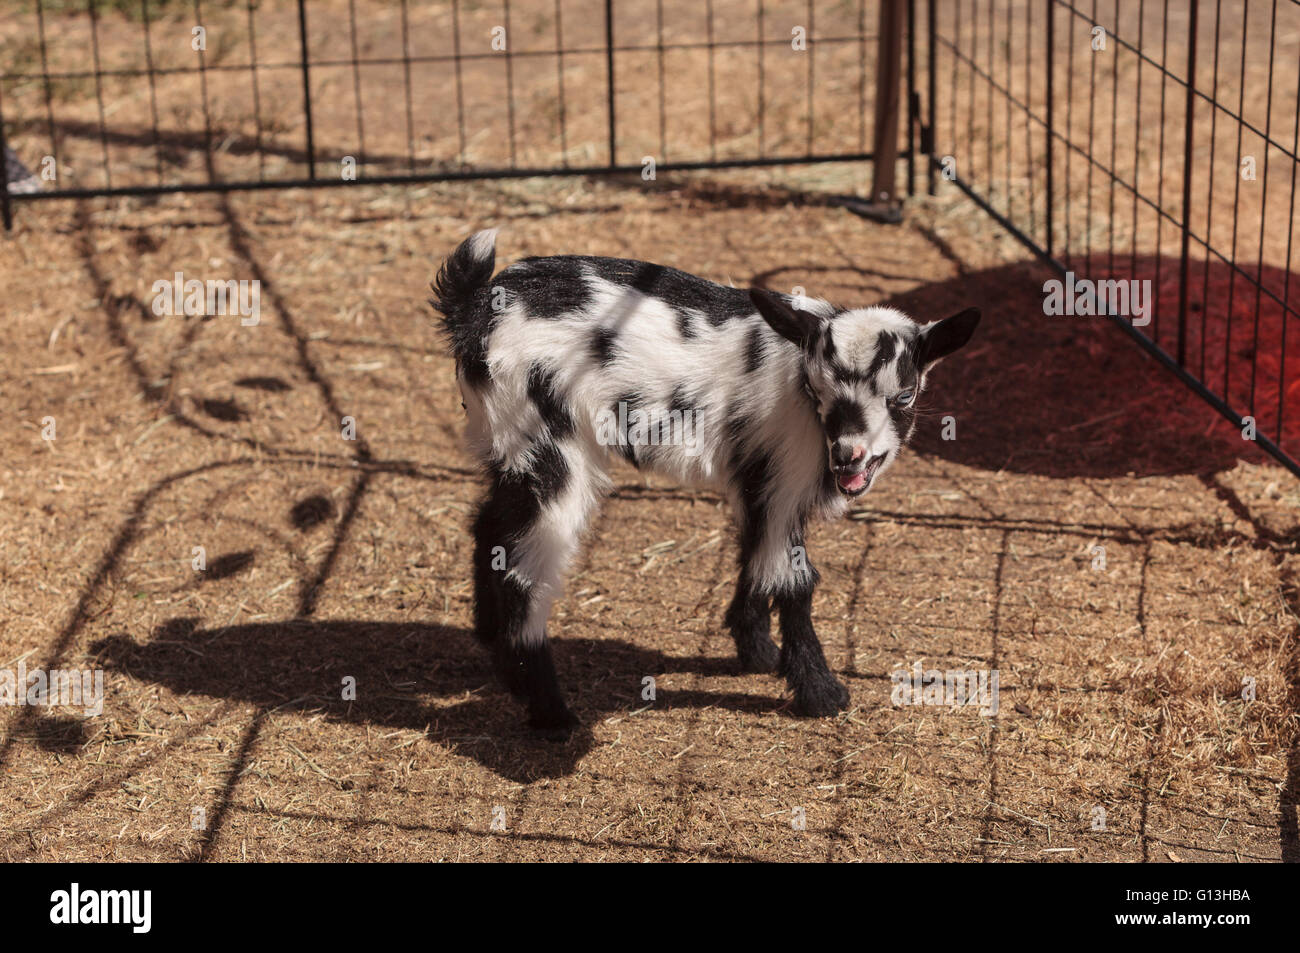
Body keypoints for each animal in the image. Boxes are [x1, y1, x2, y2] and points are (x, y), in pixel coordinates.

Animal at [431, 229, 980, 734]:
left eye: (904, 396)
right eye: (817, 388)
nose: (849, 457)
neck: (799, 398)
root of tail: (474, 307)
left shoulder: (761, 476)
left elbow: (755, 556)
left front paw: (756, 649)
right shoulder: (785, 476)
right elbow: (795, 580)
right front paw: (820, 692)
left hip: (509, 446)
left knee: (491, 527)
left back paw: (491, 638)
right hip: (549, 446)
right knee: (525, 570)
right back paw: (552, 714)